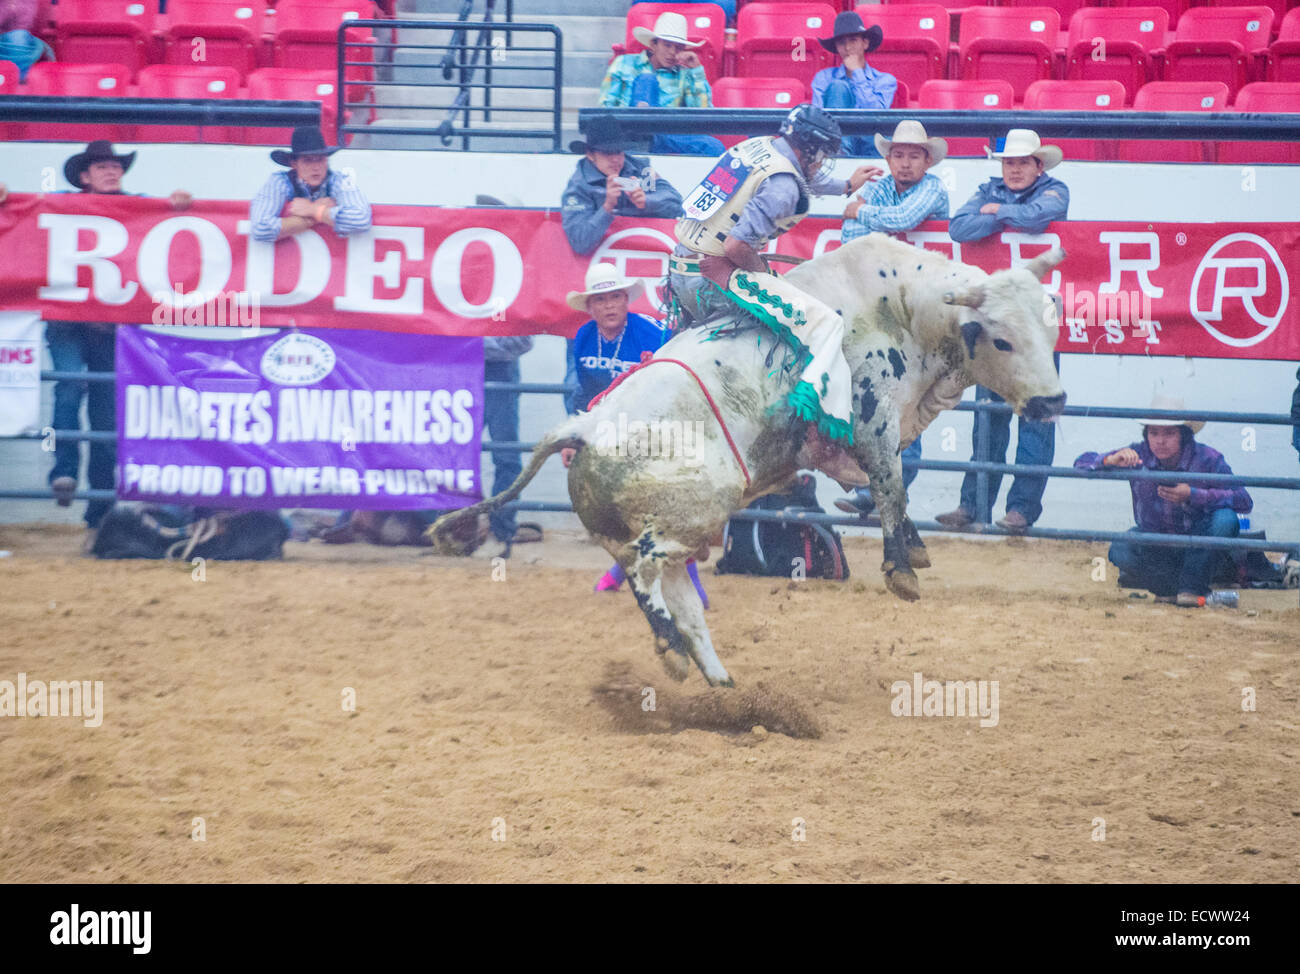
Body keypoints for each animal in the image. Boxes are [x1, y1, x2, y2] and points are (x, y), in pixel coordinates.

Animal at [432, 234, 1067, 687]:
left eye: (1052, 325)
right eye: (1002, 339)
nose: (1052, 402)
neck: (903, 308)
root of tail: (581, 428)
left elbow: (891, 484)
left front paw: (913, 548)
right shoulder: (873, 419)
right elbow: (891, 482)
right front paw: (902, 570)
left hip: (662, 532)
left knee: (682, 603)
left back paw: (719, 682)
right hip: (692, 512)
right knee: (643, 570)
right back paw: (672, 653)